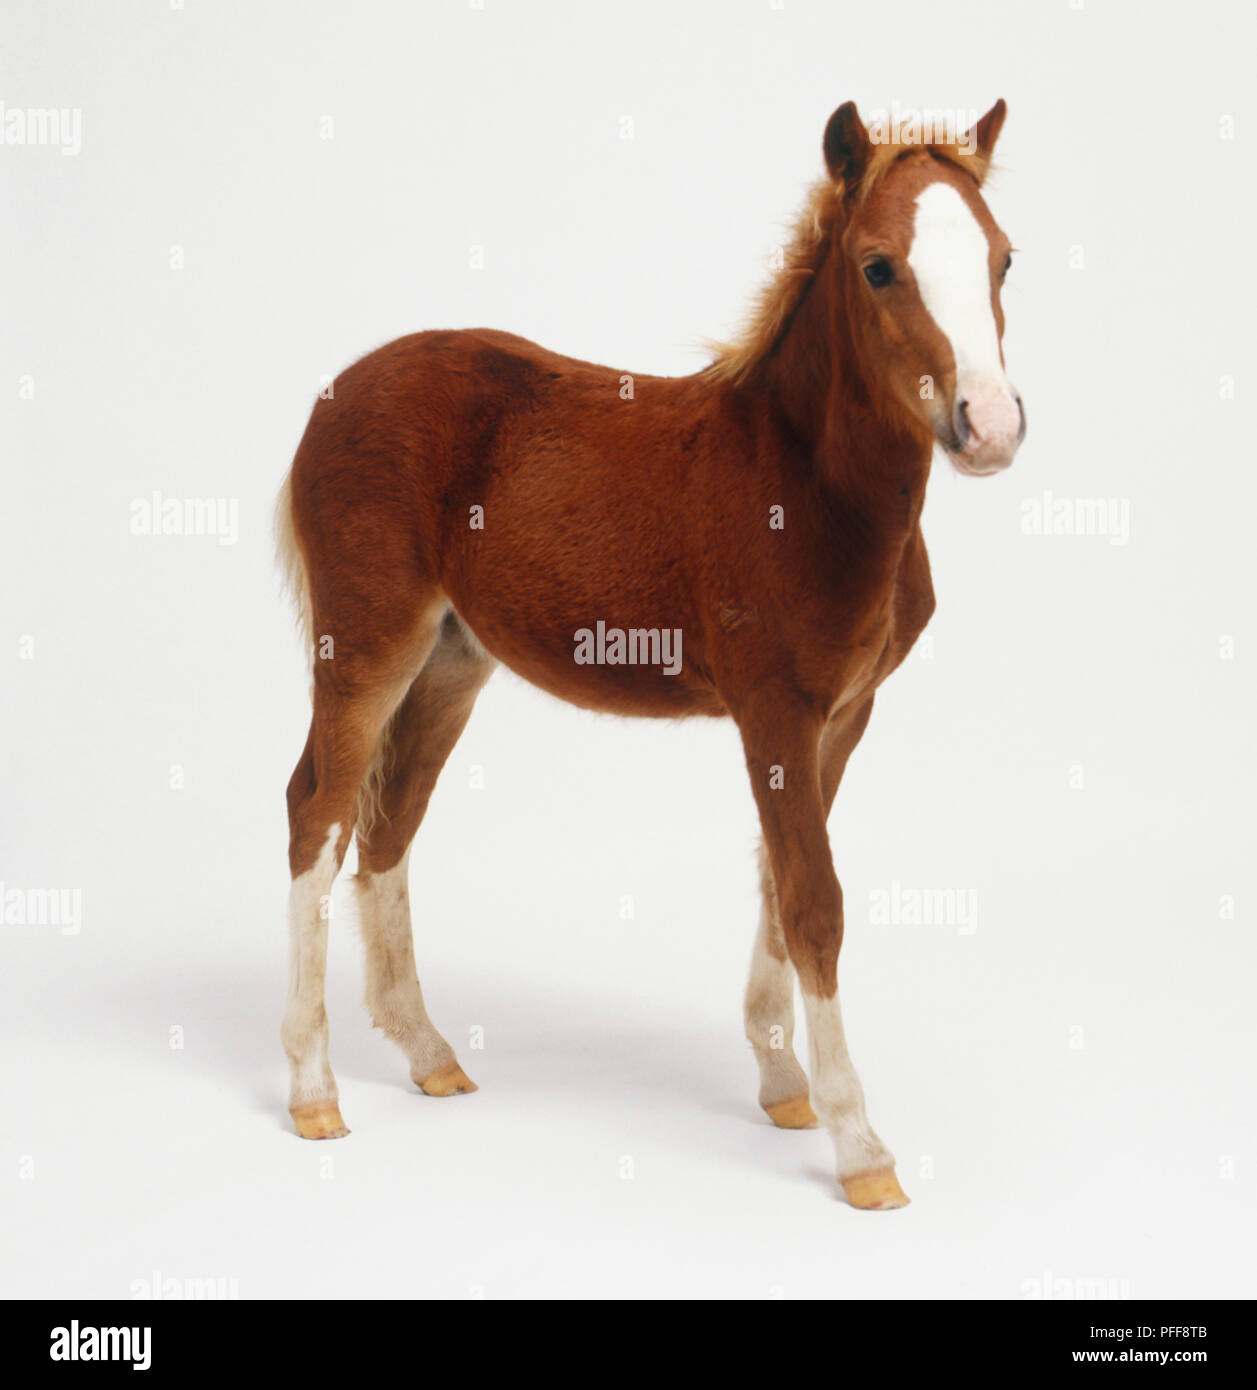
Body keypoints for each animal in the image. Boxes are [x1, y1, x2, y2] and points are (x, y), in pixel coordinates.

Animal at [275, 99, 1024, 1210]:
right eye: (879, 267)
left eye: (1004, 259)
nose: (992, 425)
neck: (805, 483)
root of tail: (337, 391)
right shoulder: (774, 709)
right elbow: (815, 902)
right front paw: (859, 1144)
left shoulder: (843, 714)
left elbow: (778, 886)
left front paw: (783, 1087)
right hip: (366, 644)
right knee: (317, 815)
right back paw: (314, 1091)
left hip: (451, 660)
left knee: (389, 822)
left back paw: (428, 1053)